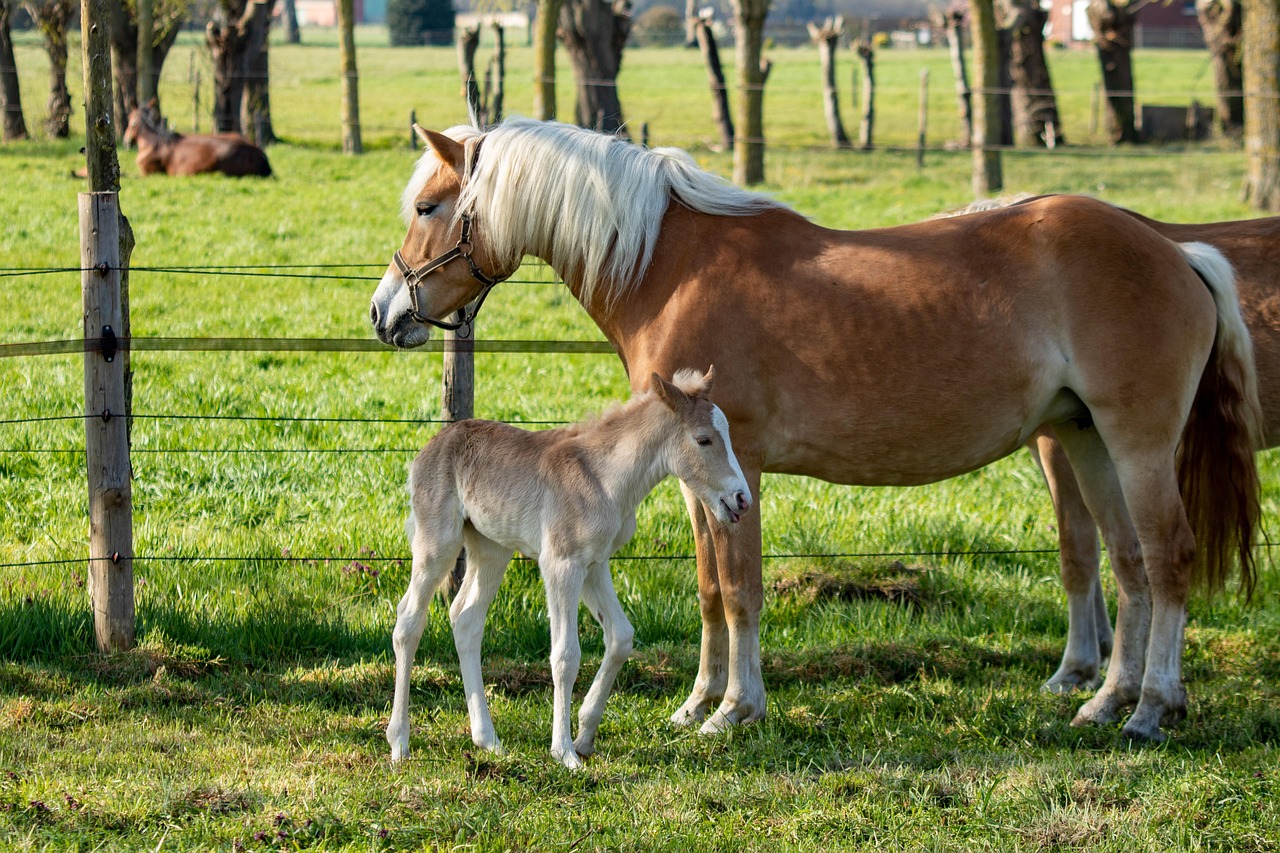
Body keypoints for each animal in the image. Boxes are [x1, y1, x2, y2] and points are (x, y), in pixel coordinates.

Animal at [386, 367, 752, 768]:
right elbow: (565, 655)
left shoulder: (595, 564)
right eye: (703, 439)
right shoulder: (561, 565)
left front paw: (585, 736)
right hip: (438, 542)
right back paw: (399, 743)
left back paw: (488, 740)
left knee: (466, 618)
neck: (605, 479)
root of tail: (432, 444)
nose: (742, 499)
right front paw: (564, 752)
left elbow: (621, 637)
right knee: (408, 622)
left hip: (491, 548)